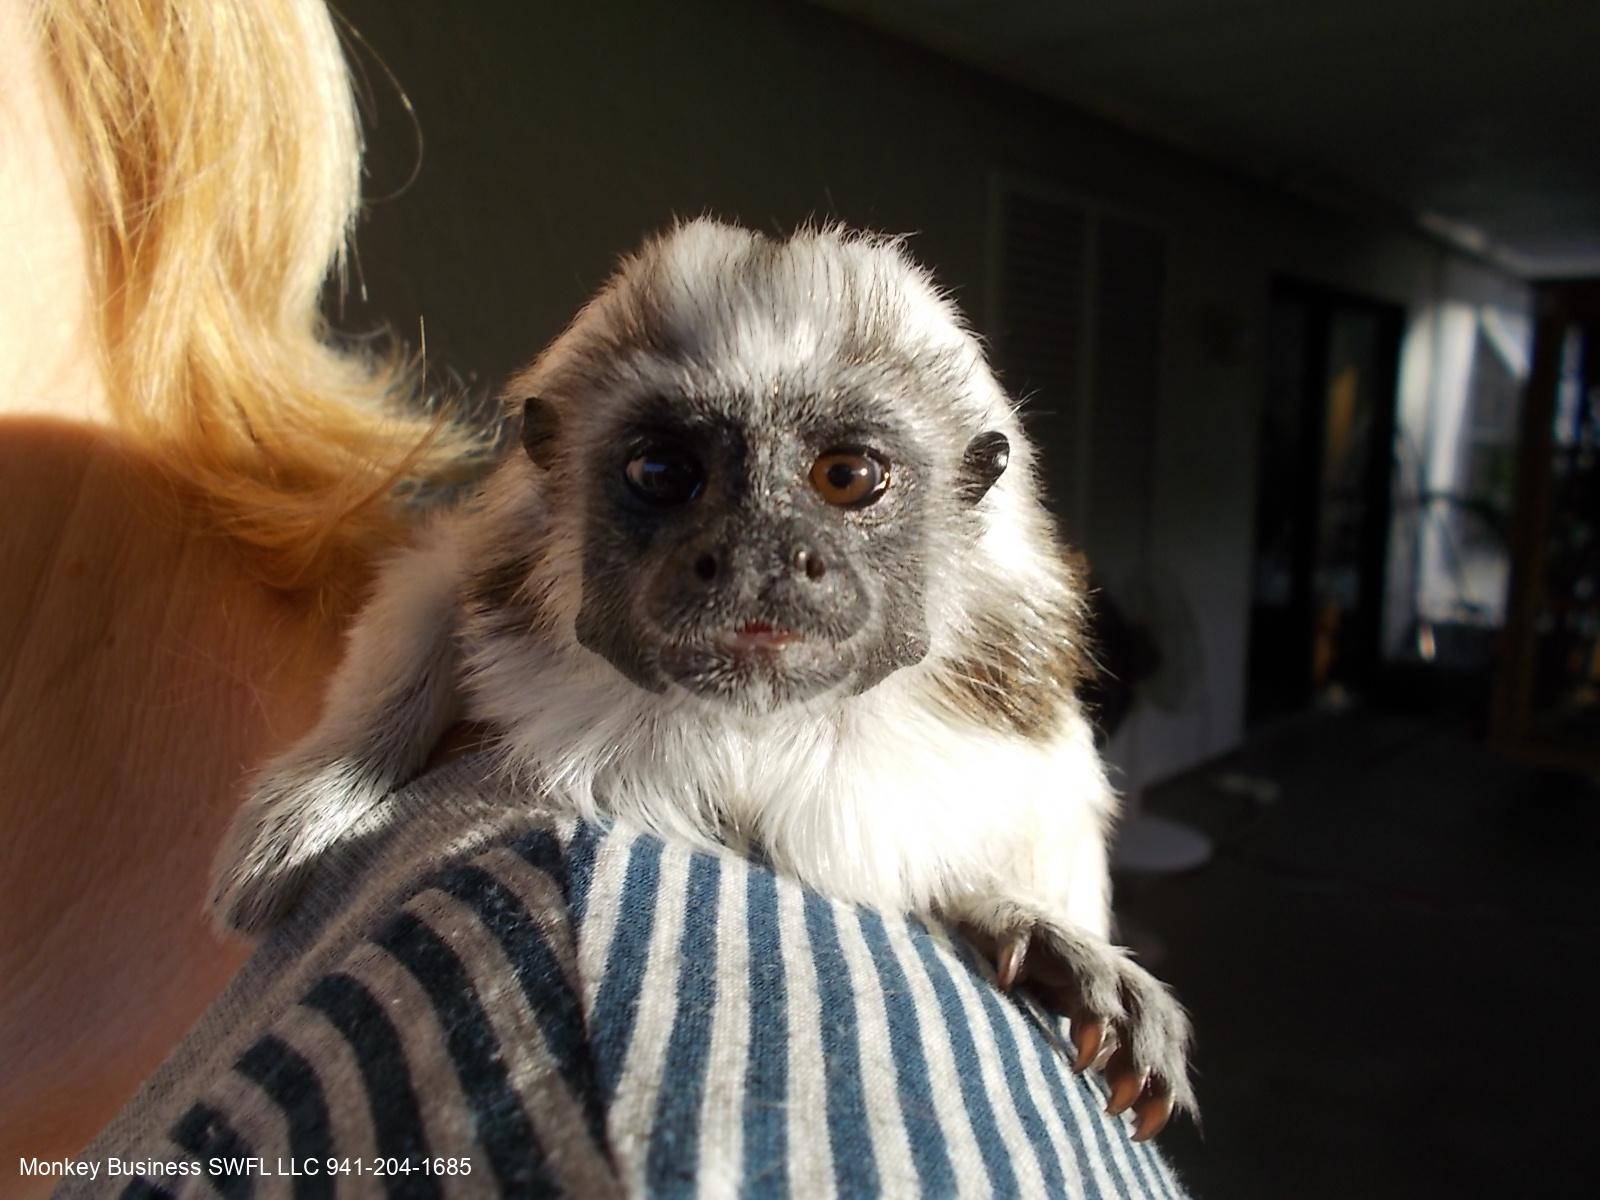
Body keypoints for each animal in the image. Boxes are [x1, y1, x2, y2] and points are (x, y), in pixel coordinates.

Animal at [211, 218, 1193, 1140]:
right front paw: (323, 798)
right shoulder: (489, 573)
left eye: (847, 477)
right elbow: (426, 594)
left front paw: (1019, 921)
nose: (758, 559)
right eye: (663, 472)